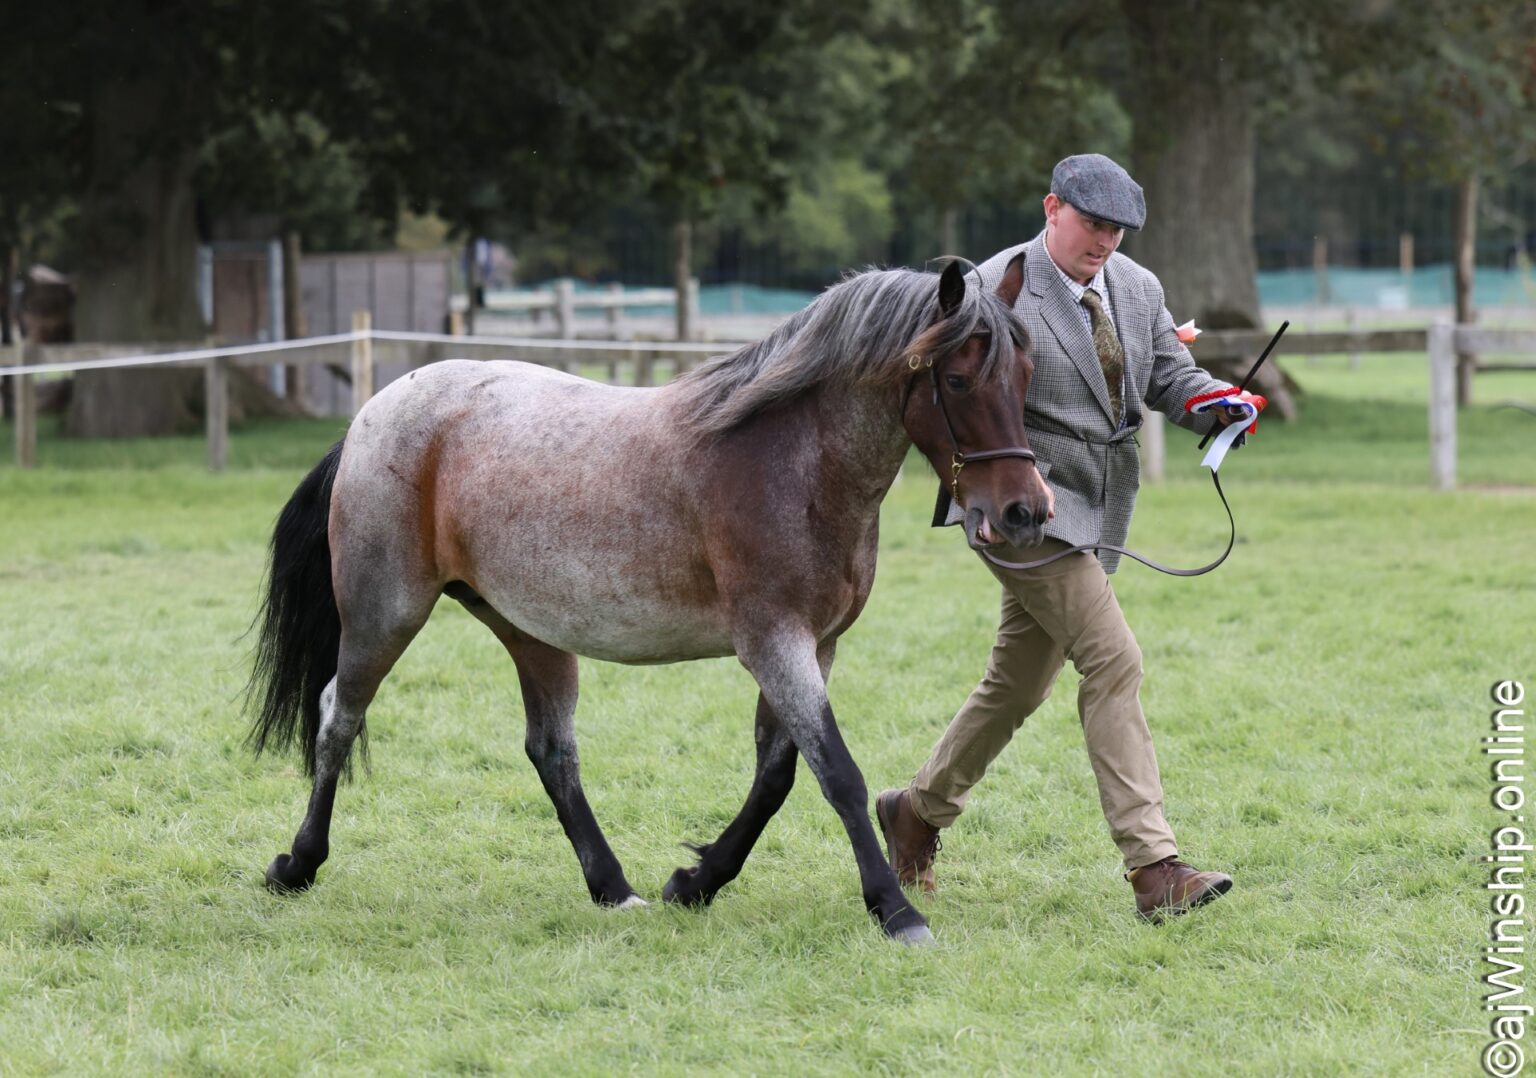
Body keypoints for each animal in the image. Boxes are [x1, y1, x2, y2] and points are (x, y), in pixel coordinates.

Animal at [245, 256, 1049, 944]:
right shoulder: (775, 643)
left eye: (1026, 374)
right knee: (337, 719)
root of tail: (372, 415)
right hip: (386, 614)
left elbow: (777, 776)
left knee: (551, 751)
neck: (787, 461)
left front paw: (695, 881)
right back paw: (298, 864)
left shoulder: (814, 646)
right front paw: (894, 909)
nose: (1025, 512)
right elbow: (838, 776)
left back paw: (613, 888)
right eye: (957, 380)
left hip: (531, 630)